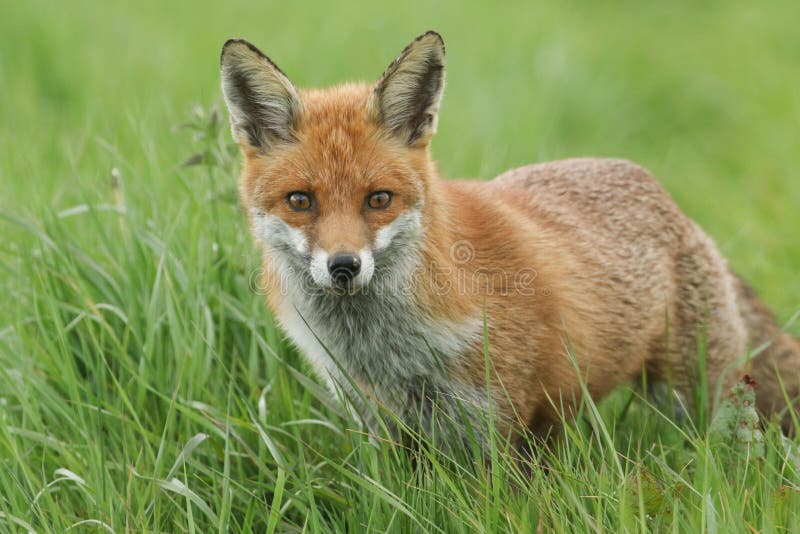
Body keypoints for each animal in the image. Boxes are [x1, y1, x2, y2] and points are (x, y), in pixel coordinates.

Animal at [219, 31, 800, 450]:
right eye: (301, 200)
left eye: (378, 199)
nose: (344, 266)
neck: (388, 351)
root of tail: (670, 201)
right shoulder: (380, 421)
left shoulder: (497, 417)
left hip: (700, 396)